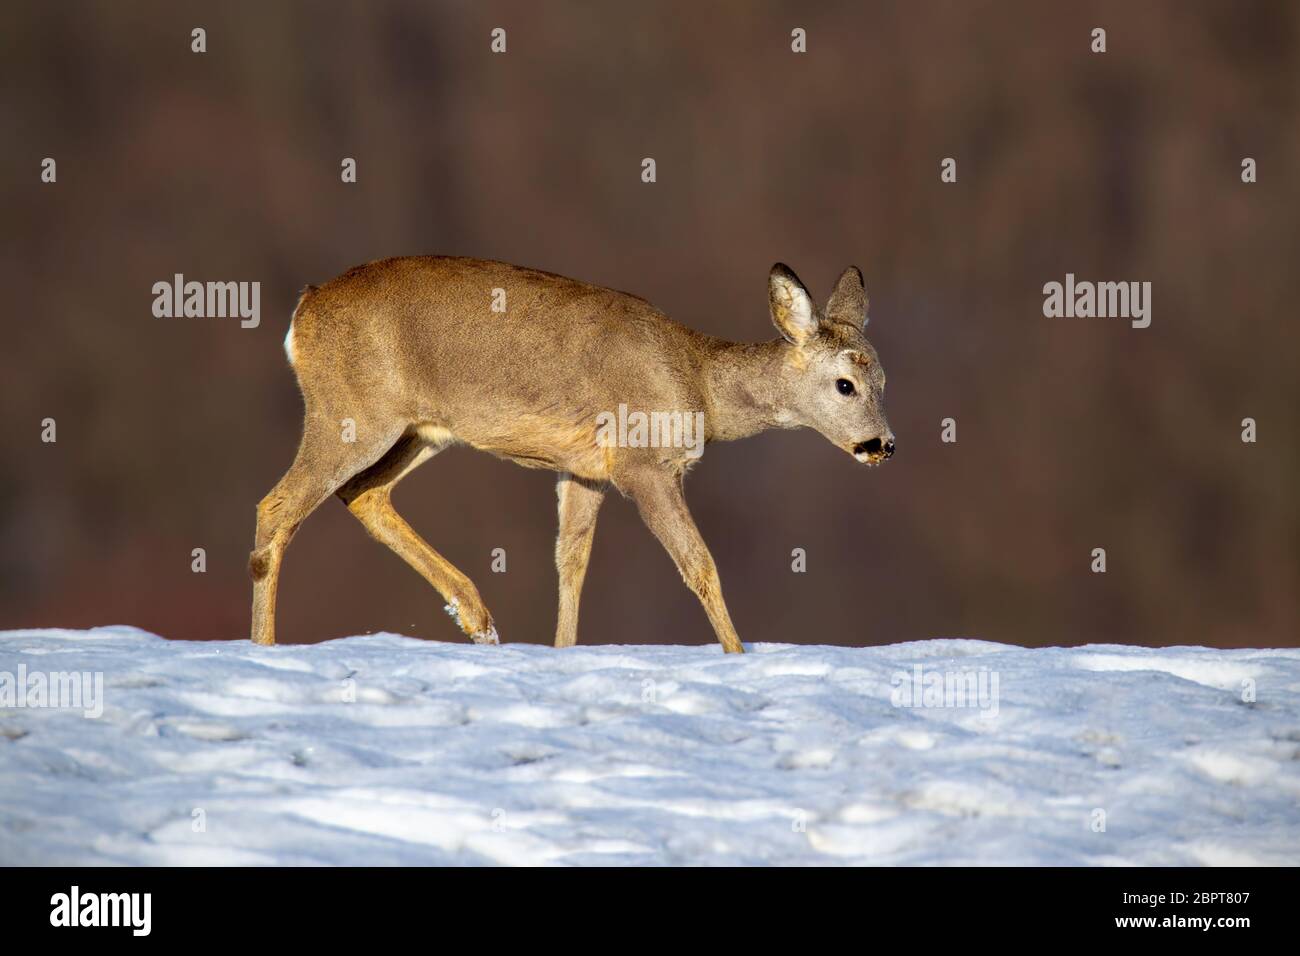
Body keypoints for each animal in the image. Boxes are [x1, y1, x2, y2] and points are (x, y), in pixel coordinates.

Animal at [249, 257, 894, 653]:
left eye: (884, 380)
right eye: (845, 385)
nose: (883, 444)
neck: (699, 385)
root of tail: (303, 311)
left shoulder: (583, 472)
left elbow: (571, 564)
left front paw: (562, 652)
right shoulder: (641, 464)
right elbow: (699, 564)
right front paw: (738, 656)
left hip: (419, 430)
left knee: (363, 494)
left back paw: (478, 618)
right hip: (351, 413)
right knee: (277, 506)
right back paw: (265, 646)